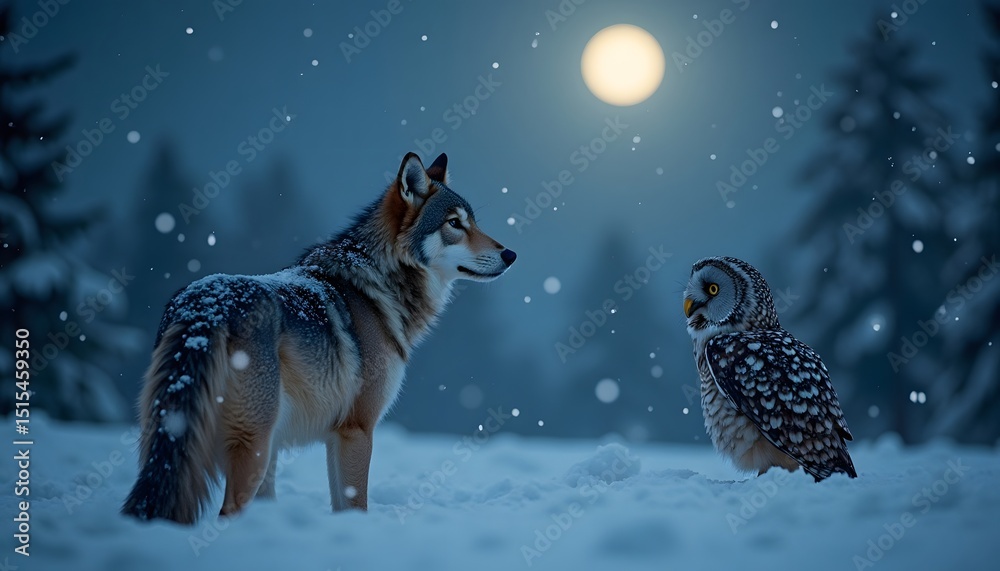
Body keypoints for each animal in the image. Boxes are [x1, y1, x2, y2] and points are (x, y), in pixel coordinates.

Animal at [122, 152, 516, 524]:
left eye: (474, 221)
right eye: (454, 224)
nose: (510, 254)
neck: (380, 287)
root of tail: (206, 307)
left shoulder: (334, 435)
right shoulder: (357, 429)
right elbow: (357, 506)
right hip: (254, 449)